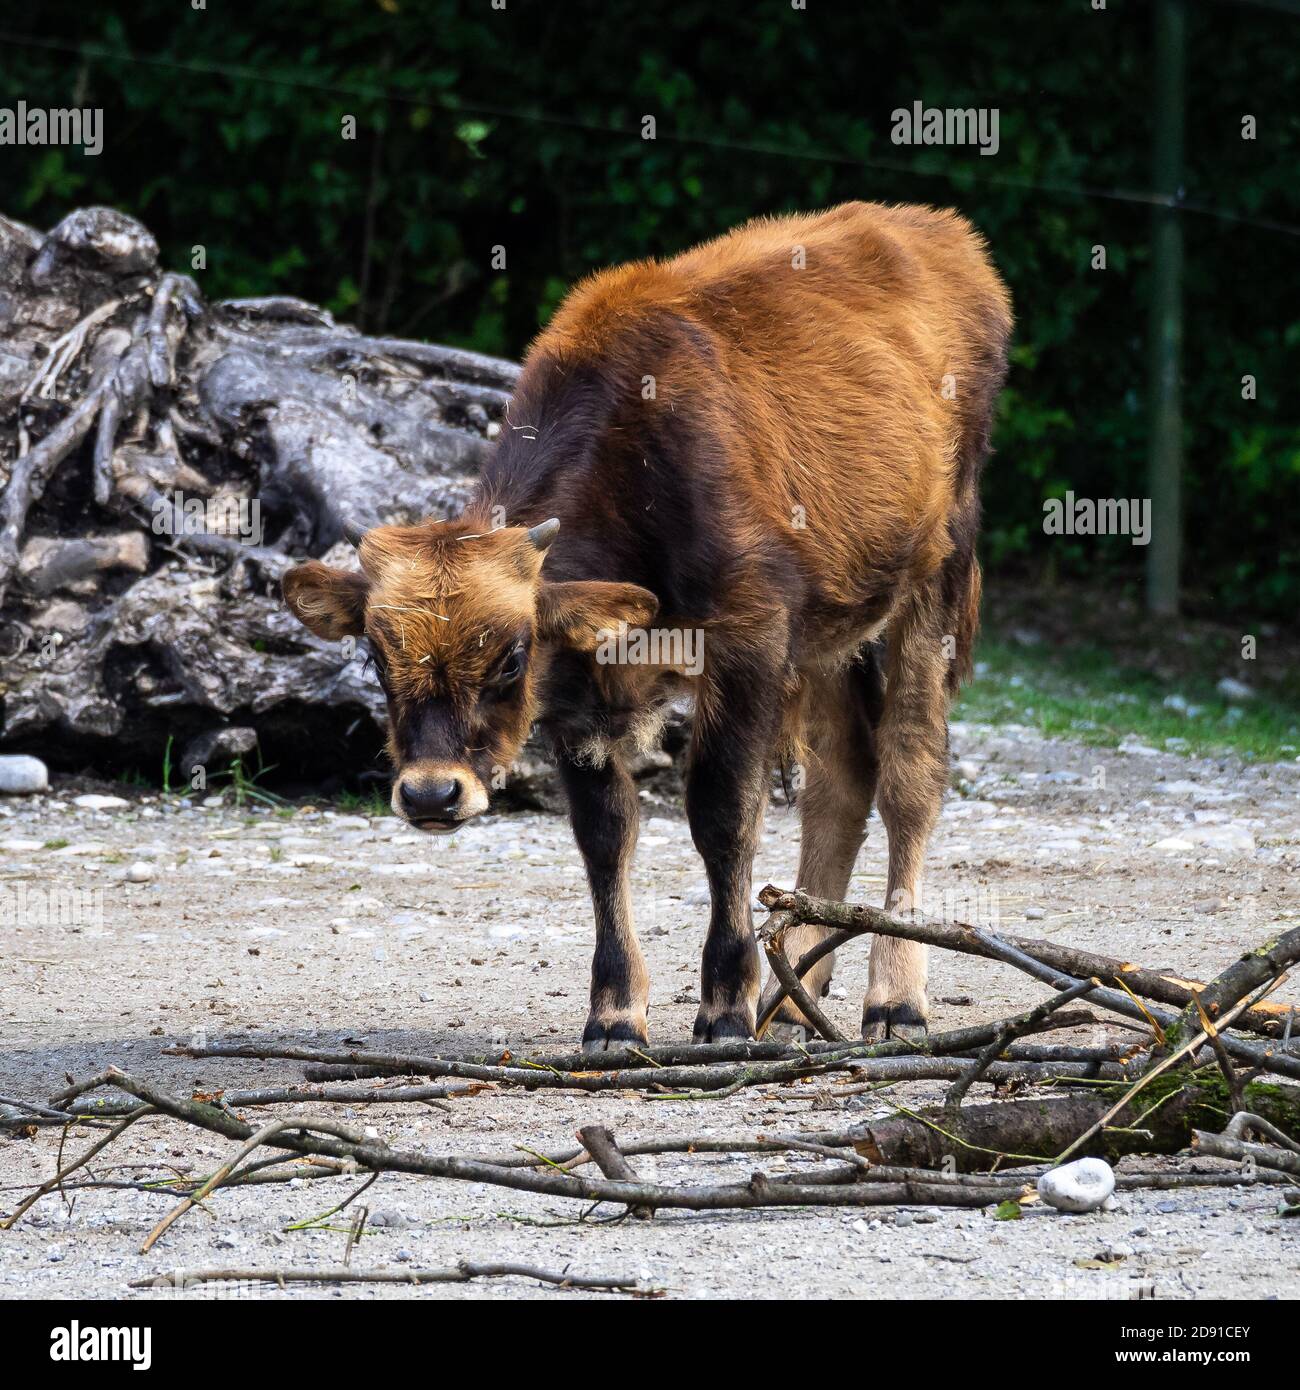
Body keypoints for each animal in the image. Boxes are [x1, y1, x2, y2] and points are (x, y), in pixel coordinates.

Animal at [283, 201, 1013, 1051]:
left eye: (511, 658)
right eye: (374, 655)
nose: (432, 794)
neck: (639, 464)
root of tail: (945, 235)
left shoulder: (748, 642)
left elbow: (721, 814)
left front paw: (725, 1003)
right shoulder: (584, 695)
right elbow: (605, 835)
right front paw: (614, 1013)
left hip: (933, 584)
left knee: (909, 773)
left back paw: (893, 999)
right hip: (834, 629)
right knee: (843, 776)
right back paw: (795, 993)